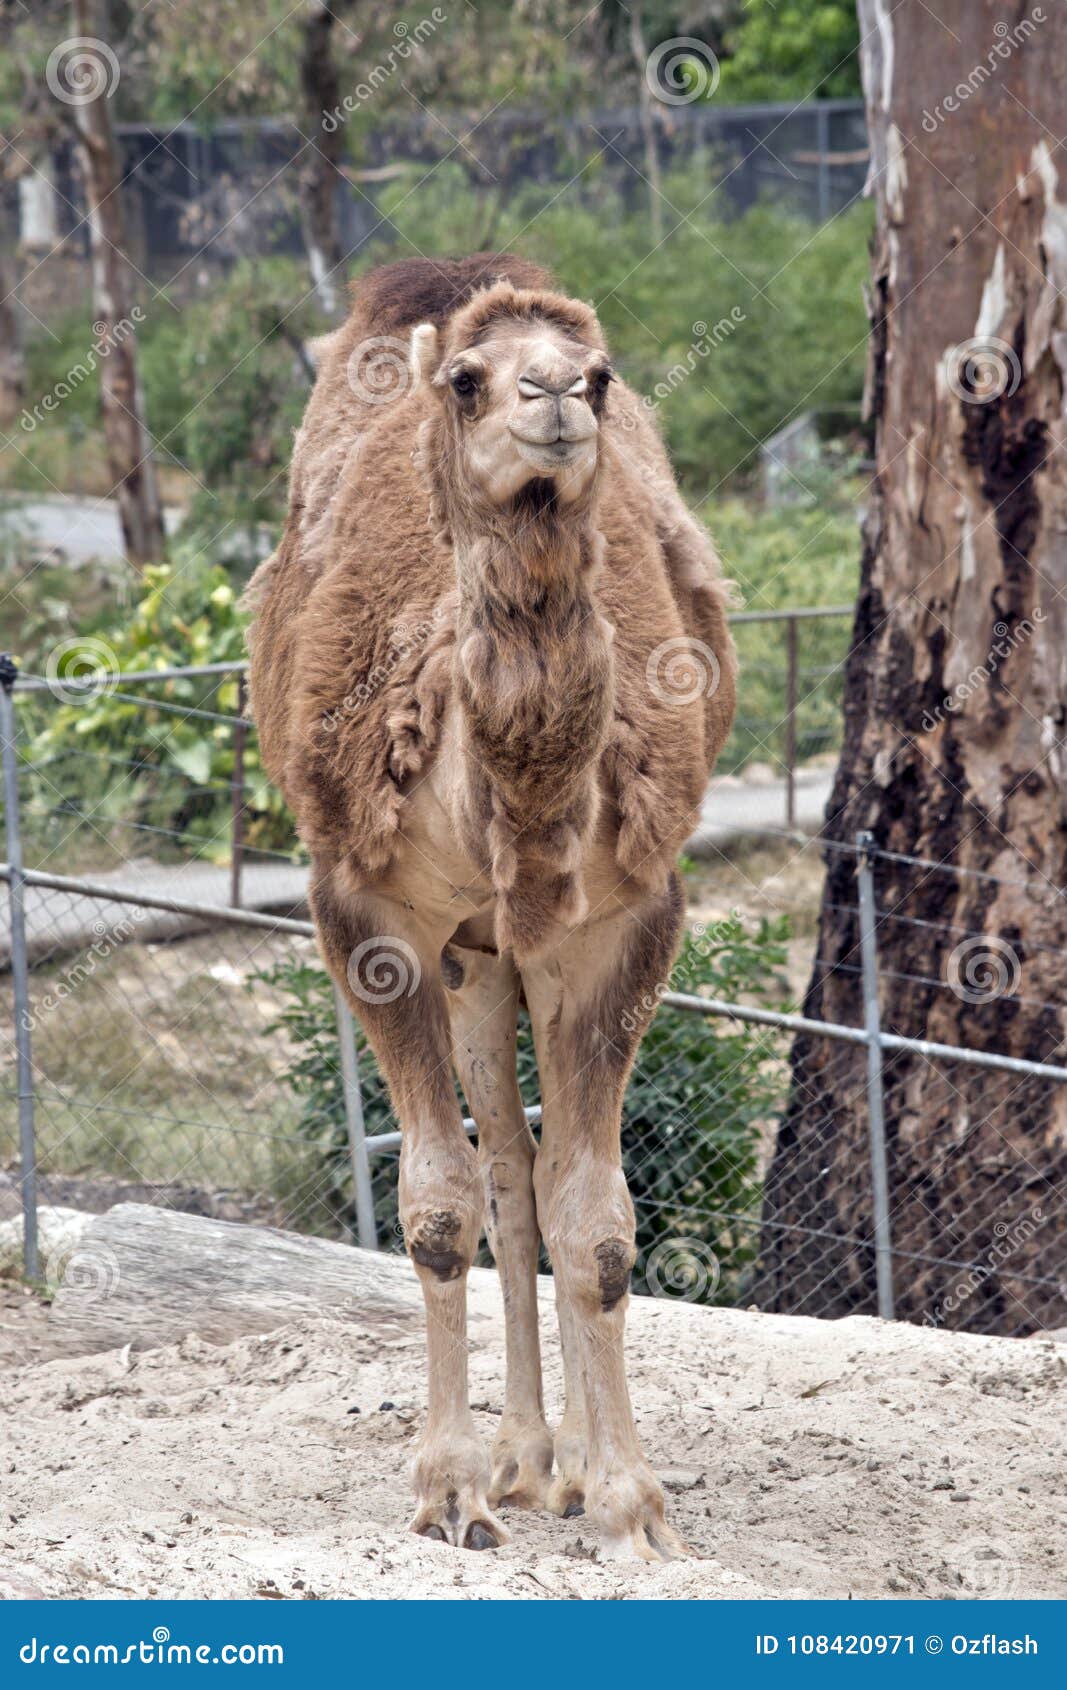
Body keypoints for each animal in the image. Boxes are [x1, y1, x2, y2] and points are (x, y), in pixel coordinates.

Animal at [247, 253, 736, 1561]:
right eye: (468, 379)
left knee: (539, 1164)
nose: (554, 393)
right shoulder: (367, 911)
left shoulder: (622, 918)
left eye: (602, 375)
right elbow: (432, 1207)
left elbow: (600, 1220)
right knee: (501, 1167)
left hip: (511, 954)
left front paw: (627, 1499)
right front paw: (450, 1489)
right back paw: (517, 1459)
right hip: (471, 957)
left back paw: (552, 1464)